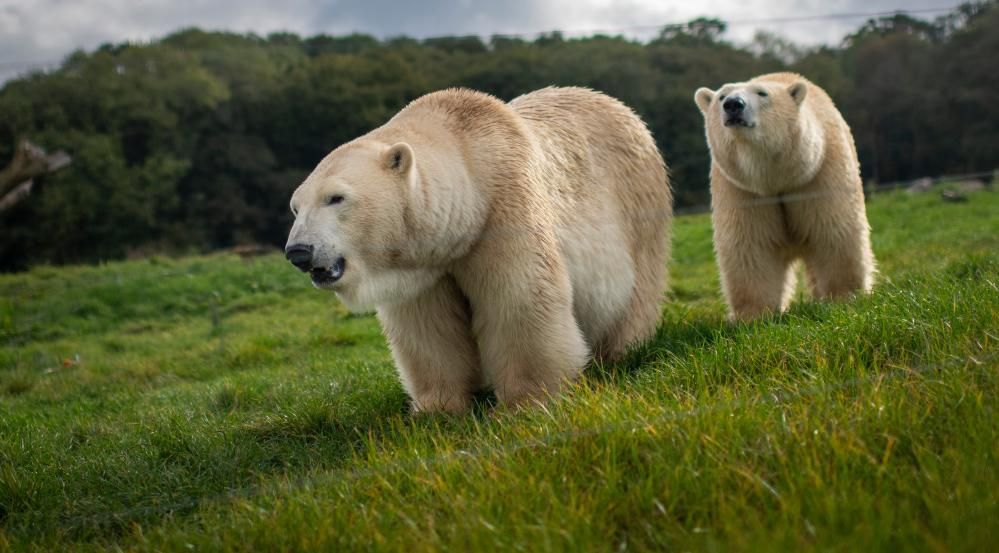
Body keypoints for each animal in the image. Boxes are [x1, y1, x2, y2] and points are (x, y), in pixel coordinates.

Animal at [285, 87, 672, 413]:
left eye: (335, 197)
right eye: (295, 207)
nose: (298, 251)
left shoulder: (503, 211)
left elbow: (520, 299)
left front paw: (527, 401)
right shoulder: (426, 265)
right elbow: (428, 327)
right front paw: (437, 409)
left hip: (638, 206)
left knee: (636, 291)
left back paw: (621, 351)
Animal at [694, 72, 875, 320]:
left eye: (762, 93)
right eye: (721, 96)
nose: (733, 105)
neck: (776, 180)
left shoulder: (818, 175)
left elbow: (833, 231)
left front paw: (844, 297)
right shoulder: (743, 190)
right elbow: (749, 245)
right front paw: (753, 315)